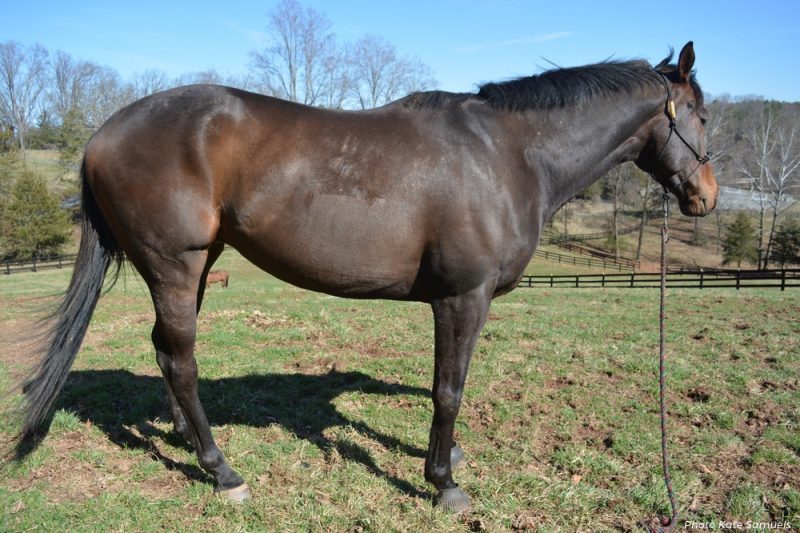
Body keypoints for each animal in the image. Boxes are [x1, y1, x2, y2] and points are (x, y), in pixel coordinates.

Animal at [14, 42, 717, 511]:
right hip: (175, 265)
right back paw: (223, 471)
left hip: (199, 264)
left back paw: (189, 440)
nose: (706, 196)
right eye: (702, 116)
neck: (509, 155)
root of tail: (102, 136)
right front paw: (444, 483)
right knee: (180, 358)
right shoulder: (462, 298)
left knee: (164, 351)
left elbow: (448, 387)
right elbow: (448, 390)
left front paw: (447, 459)